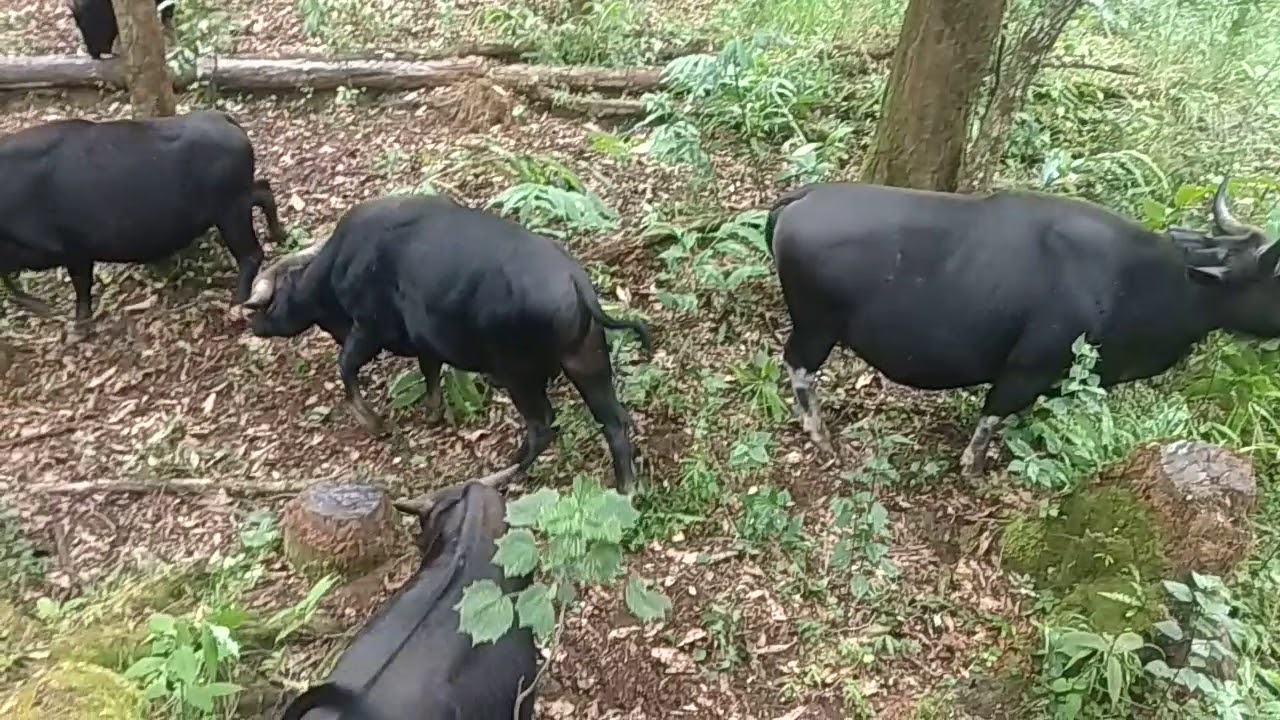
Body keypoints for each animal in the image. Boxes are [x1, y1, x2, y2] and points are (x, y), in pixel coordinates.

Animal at [0, 110, 283, 343]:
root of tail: (226, 120)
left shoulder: (75, 248)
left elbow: (81, 286)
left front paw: (77, 330)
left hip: (230, 210)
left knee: (251, 253)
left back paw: (238, 302)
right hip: (237, 201)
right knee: (264, 190)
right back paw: (278, 235)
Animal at [243, 194, 652, 494]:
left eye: (277, 297)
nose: (253, 320)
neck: (340, 264)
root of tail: (575, 282)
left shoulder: (369, 330)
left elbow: (346, 366)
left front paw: (374, 421)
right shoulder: (425, 344)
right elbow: (430, 373)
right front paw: (434, 413)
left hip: (519, 374)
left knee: (542, 427)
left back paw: (497, 475)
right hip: (587, 360)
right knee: (614, 421)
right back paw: (627, 487)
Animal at [766, 178, 1280, 477]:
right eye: (1276, 275)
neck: (1134, 279)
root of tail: (803, 197)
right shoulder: (1027, 369)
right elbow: (993, 416)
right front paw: (974, 468)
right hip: (816, 325)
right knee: (798, 368)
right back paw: (819, 434)